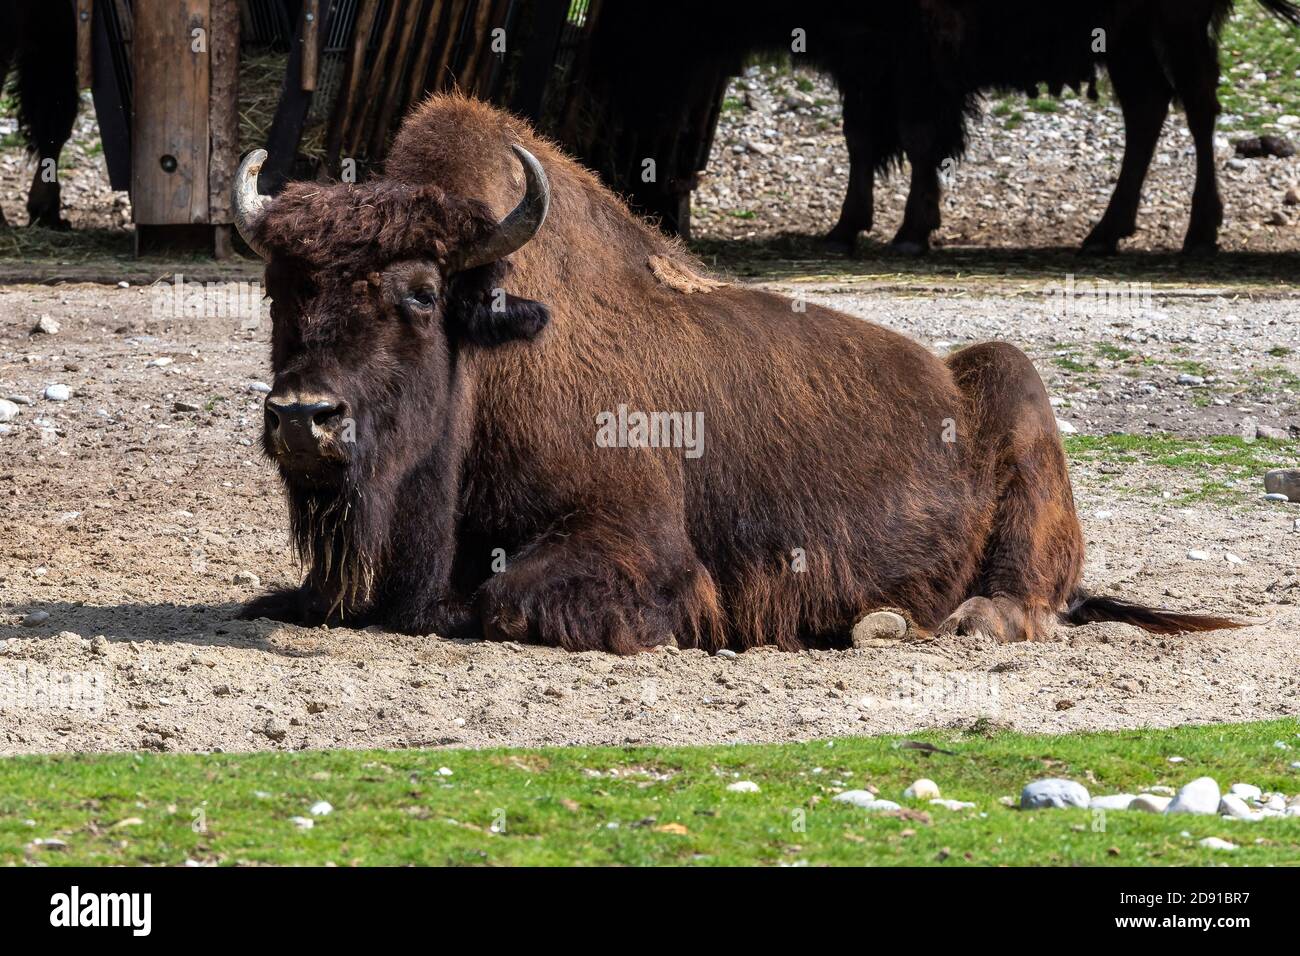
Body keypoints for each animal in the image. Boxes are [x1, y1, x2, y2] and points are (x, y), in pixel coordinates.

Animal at [232, 93, 1239, 653]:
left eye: (418, 292)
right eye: (279, 288)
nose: (303, 418)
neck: (496, 355)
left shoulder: (638, 547)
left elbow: (505, 601)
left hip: (1020, 400)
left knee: (1024, 603)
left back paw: (913, 624)